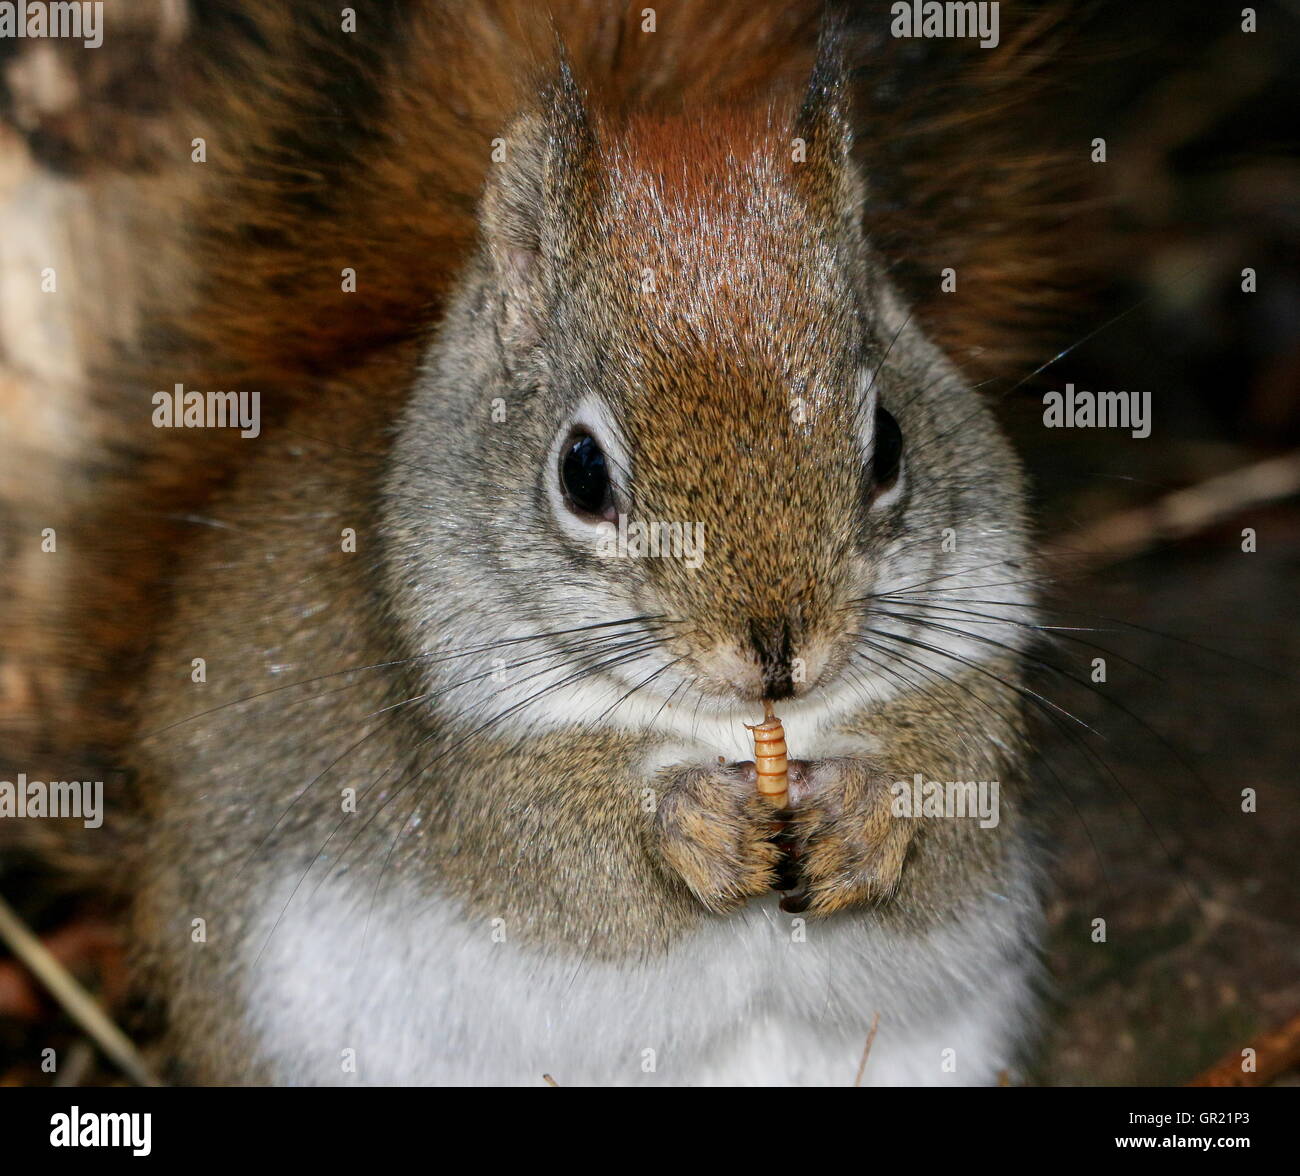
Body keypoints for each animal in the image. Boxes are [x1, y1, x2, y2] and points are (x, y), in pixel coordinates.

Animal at [2, 0, 1088, 1085]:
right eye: (582, 472)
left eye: (890, 442)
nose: (780, 654)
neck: (738, 729)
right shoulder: (453, 744)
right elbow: (558, 854)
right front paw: (688, 822)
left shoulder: (974, 662)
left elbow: (957, 799)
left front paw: (865, 816)